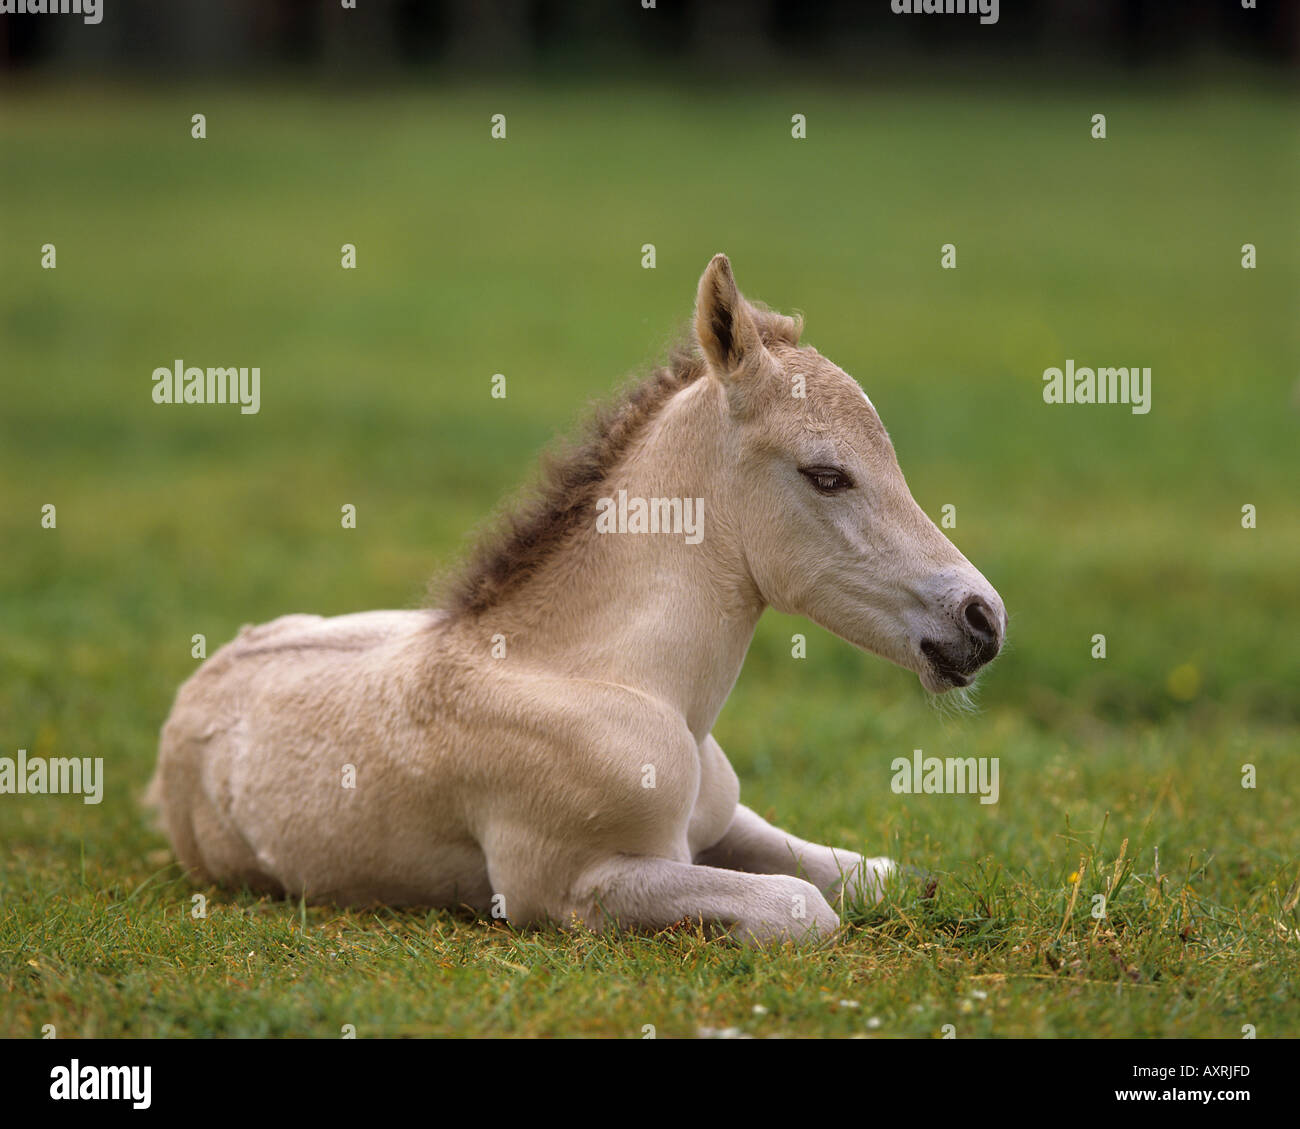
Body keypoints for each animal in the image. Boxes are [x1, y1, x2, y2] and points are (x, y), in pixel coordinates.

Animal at [149, 253, 1005, 945]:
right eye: (826, 474)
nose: (983, 620)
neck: (618, 679)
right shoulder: (564, 884)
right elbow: (803, 907)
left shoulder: (724, 818)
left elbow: (884, 876)